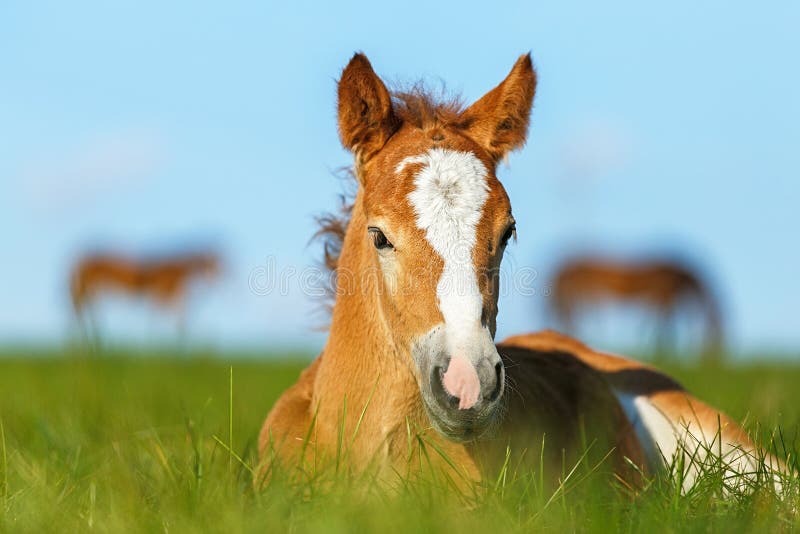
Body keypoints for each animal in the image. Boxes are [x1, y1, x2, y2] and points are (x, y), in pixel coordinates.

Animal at [70, 251, 220, 339]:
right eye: (210, 266)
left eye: (215, 266)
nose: (213, 280)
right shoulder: (161, 296)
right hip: (89, 292)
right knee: (84, 311)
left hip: (89, 292)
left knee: (85, 312)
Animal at [549, 256, 724, 362]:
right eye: (713, 335)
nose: (711, 359)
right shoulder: (664, 297)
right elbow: (663, 326)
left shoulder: (662, 299)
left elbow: (660, 325)